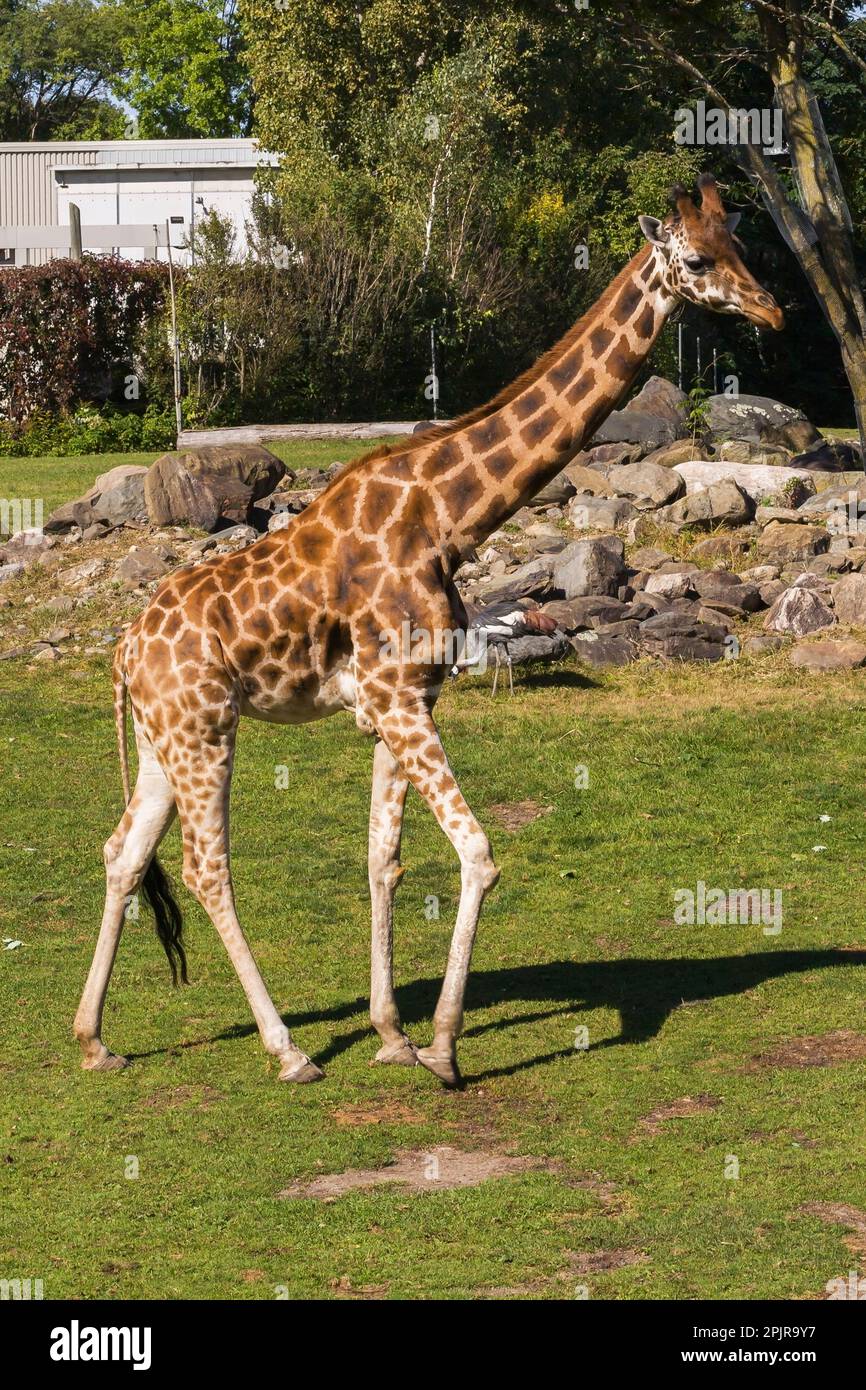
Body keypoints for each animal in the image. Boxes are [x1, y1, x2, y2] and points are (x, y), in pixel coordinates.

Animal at [74, 174, 783, 1088]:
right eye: (696, 260)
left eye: (741, 246)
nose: (772, 312)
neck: (450, 516)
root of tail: (125, 650)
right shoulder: (397, 701)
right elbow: (478, 851)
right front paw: (444, 1048)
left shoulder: (402, 703)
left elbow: (384, 860)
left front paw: (392, 1034)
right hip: (204, 731)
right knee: (205, 868)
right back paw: (289, 1050)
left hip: (168, 736)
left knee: (122, 851)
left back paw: (95, 1039)